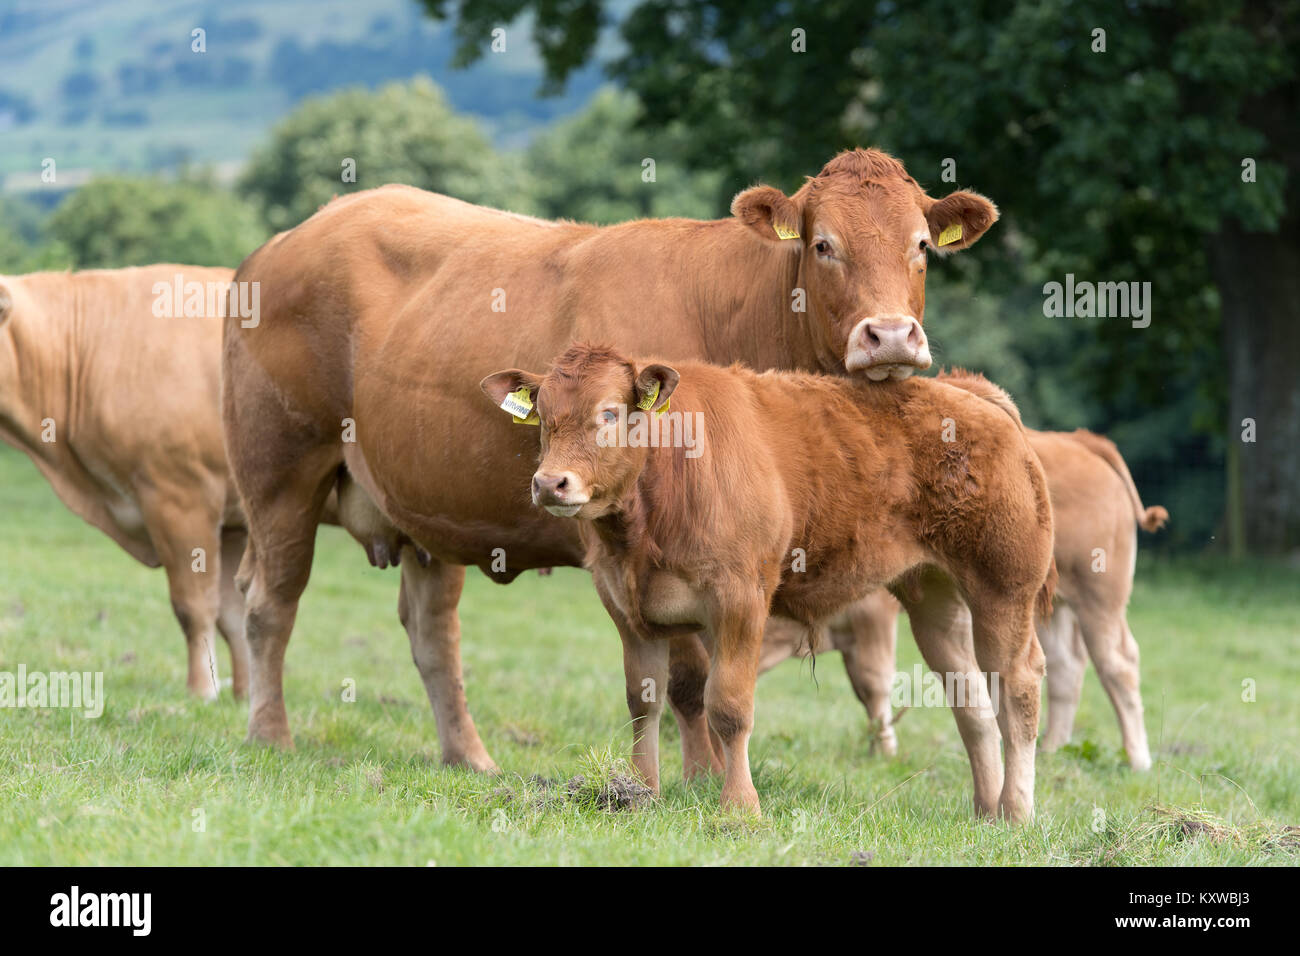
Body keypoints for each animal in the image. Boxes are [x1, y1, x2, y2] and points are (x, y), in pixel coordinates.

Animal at [0, 266, 248, 699]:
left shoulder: (182, 495)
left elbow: (195, 604)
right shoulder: (231, 521)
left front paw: (201, 691)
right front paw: (246, 696)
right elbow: (235, 615)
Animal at [221, 148, 1000, 775]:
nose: (890, 335)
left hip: (421, 508)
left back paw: (469, 757)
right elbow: (688, 678)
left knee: (432, 634)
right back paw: (270, 736)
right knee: (269, 605)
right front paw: (701, 780)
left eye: (922, 245)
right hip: (280, 476)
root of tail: (282, 244)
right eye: (823, 243)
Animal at [479, 344, 1054, 819]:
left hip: (1004, 586)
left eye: (609, 413)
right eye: (544, 417)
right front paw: (638, 793)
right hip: (934, 596)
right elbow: (643, 704)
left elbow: (728, 706)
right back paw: (986, 808)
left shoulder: (739, 599)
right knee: (971, 699)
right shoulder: (627, 609)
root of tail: (965, 389)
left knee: (1018, 687)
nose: (550, 483)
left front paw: (739, 807)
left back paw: (1017, 812)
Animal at [759, 417, 1167, 770]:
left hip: (1099, 598)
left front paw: (884, 752)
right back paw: (1051, 749)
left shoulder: (873, 615)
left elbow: (874, 684)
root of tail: (1080, 441)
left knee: (1118, 663)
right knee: (1066, 666)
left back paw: (1137, 759)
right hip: (1043, 606)